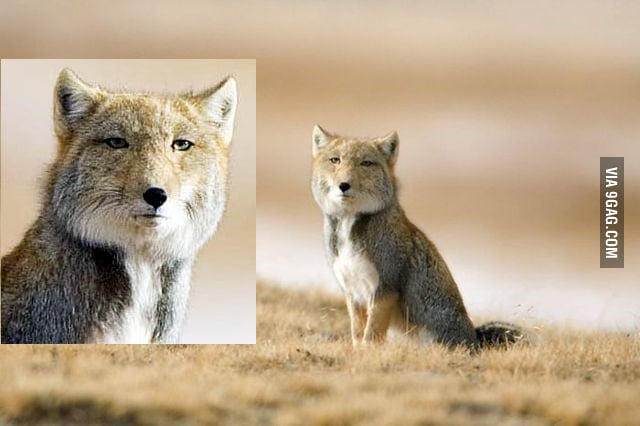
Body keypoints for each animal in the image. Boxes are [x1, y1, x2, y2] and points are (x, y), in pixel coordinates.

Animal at [311, 125, 524, 350]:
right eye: (335, 160)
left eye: (366, 163)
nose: (344, 185)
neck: (349, 226)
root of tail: (474, 340)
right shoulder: (352, 292)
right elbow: (357, 333)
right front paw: (358, 351)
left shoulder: (384, 288)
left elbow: (371, 334)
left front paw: (367, 352)